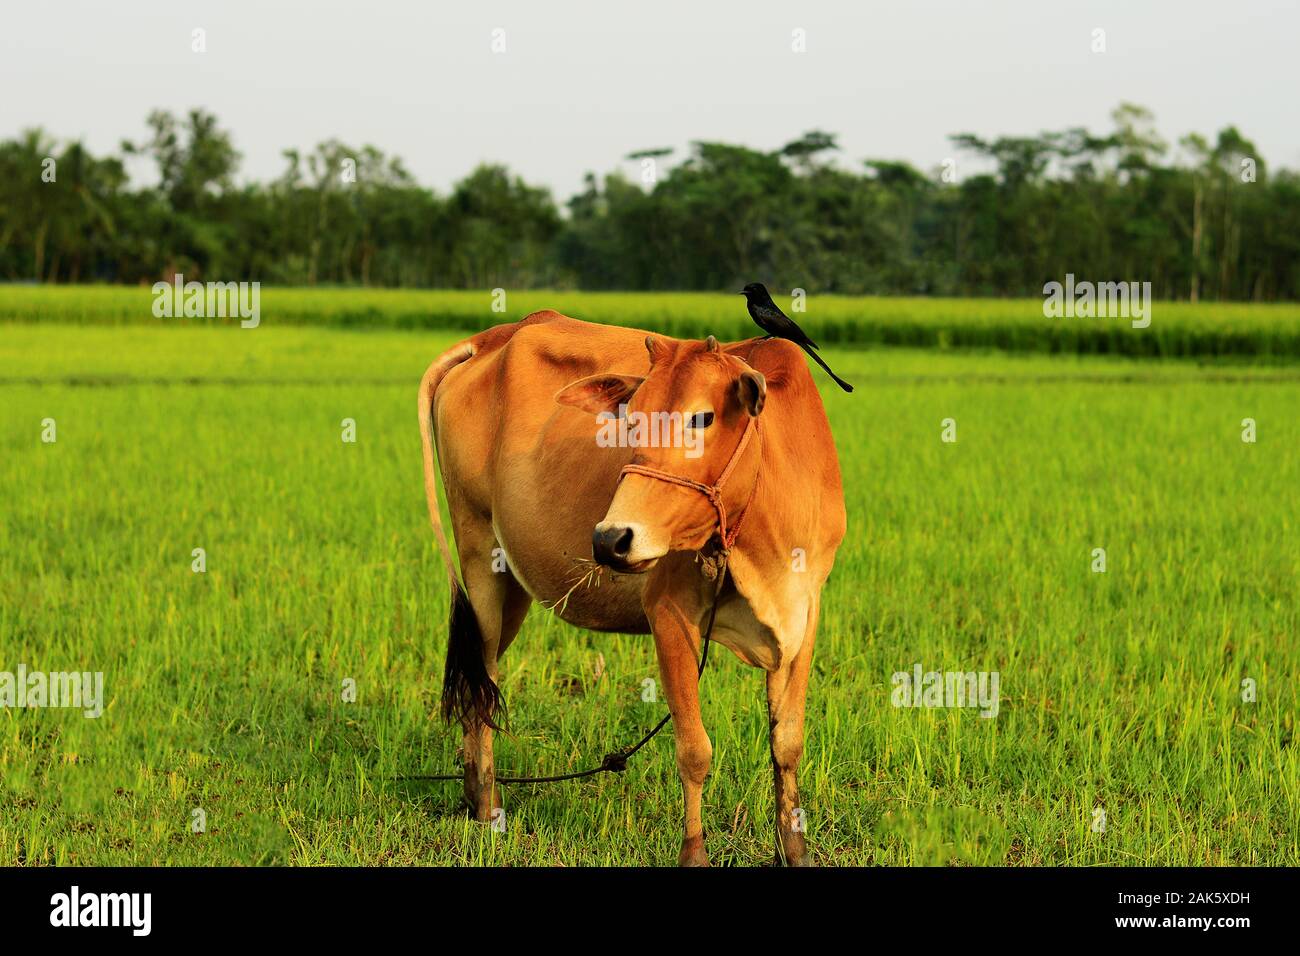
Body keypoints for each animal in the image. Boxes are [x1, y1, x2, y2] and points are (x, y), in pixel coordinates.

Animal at [418, 310, 846, 866]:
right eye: (631, 419)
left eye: (702, 419)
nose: (609, 538)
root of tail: (492, 337)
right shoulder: (668, 612)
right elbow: (694, 750)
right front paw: (693, 854)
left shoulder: (804, 610)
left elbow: (787, 742)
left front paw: (794, 850)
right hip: (478, 554)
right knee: (482, 678)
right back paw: (489, 810)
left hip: (512, 583)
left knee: (480, 676)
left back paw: (474, 798)